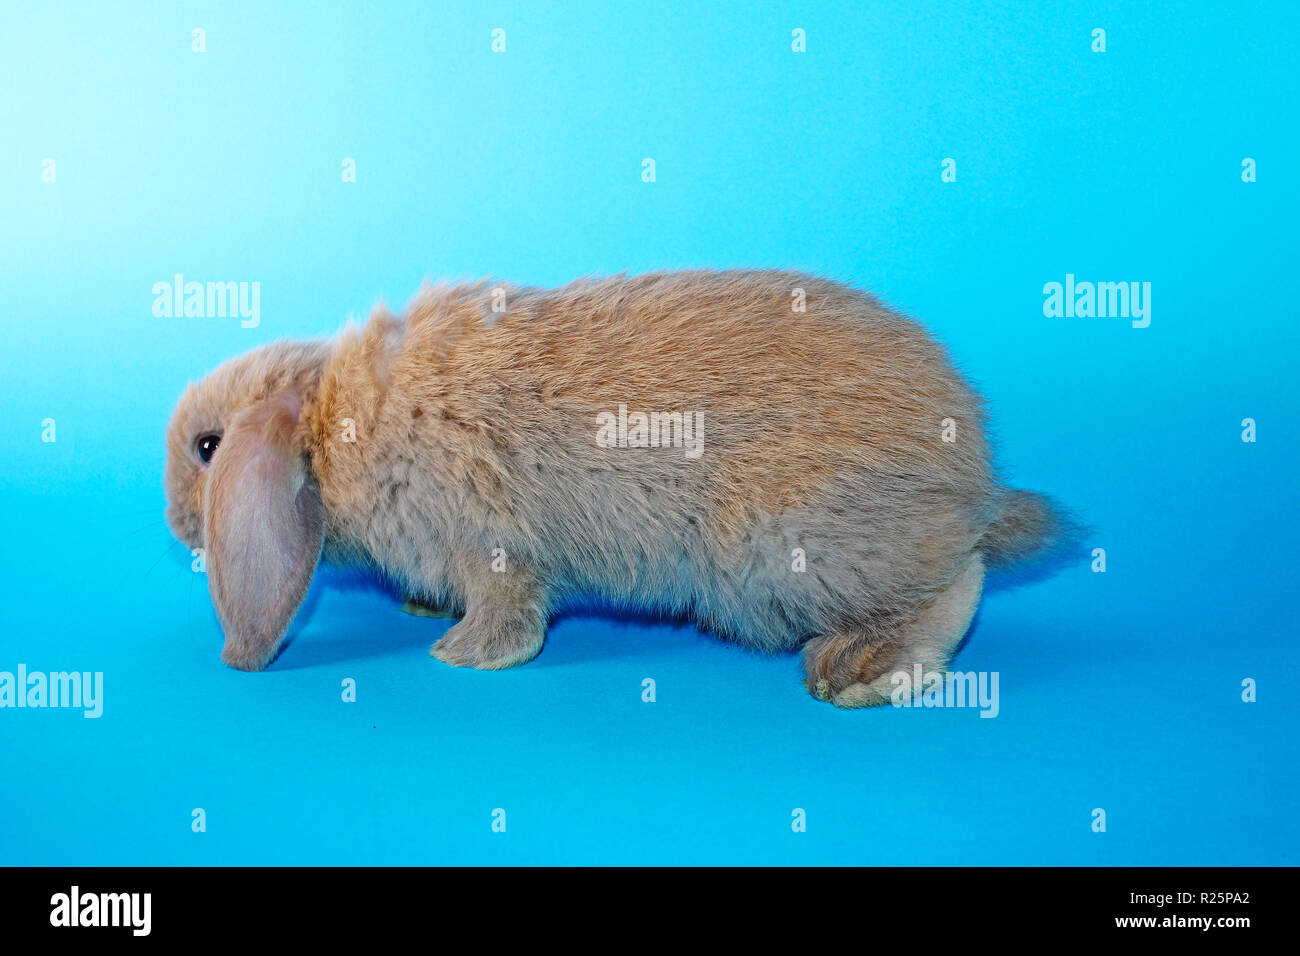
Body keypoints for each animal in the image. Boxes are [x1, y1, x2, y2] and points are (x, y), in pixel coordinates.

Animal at [164, 269, 1073, 706]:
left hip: (788, 557)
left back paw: (858, 670)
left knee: (956, 583)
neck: (331, 421)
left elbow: (511, 612)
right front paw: (425, 611)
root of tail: (972, 481)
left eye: (209, 448)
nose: (176, 524)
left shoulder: (492, 544)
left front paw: (461, 654)